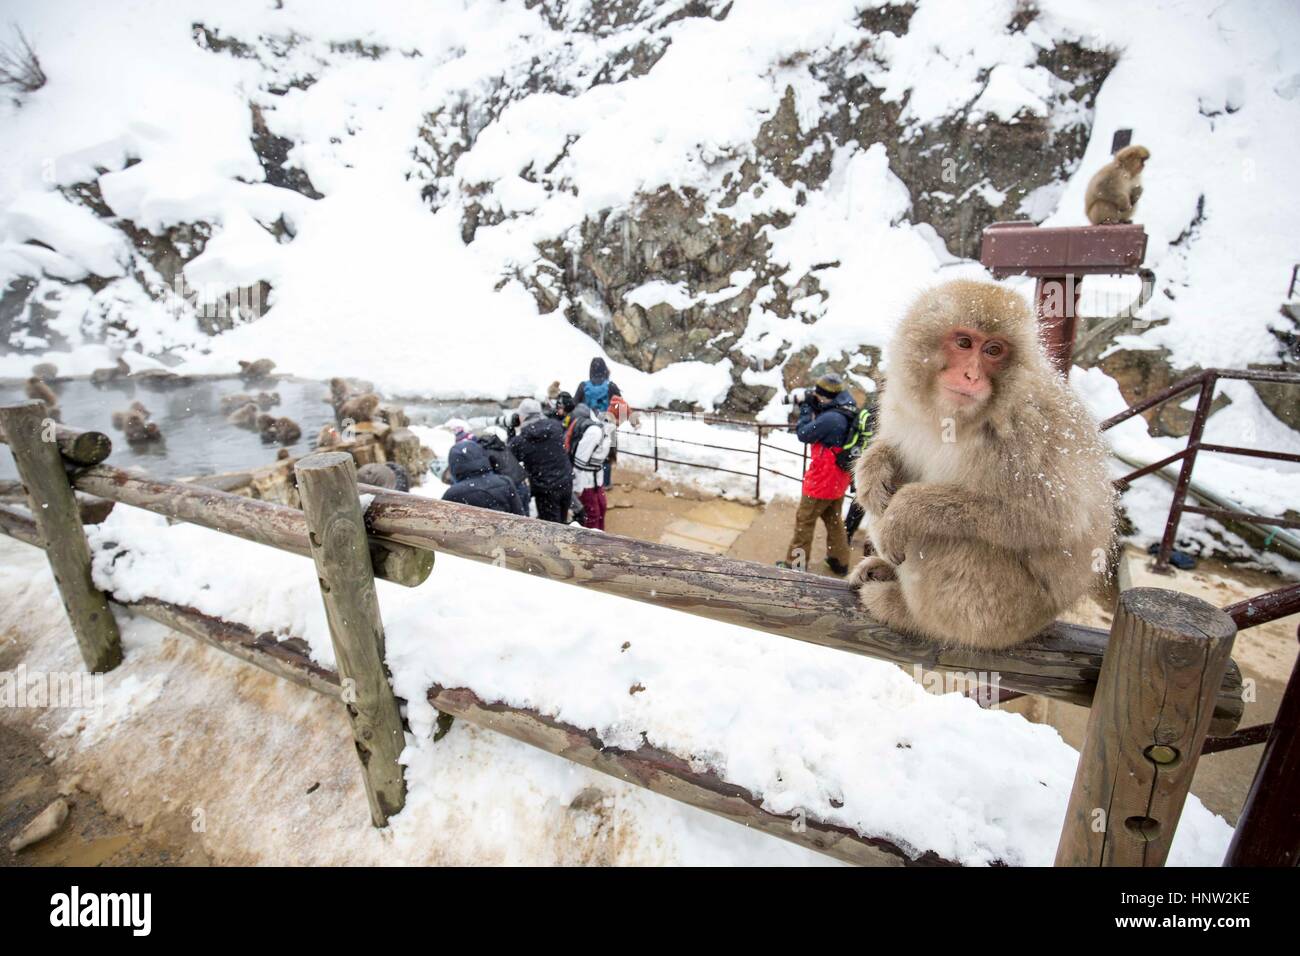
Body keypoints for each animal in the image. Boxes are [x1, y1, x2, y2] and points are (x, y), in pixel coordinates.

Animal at [847, 279, 1115, 651]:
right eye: (964, 343)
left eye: (994, 351)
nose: (972, 376)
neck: (954, 417)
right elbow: (894, 455)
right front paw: (873, 469)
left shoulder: (1028, 431)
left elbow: (1054, 520)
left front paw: (906, 510)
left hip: (1006, 614)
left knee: (951, 541)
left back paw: (908, 613)